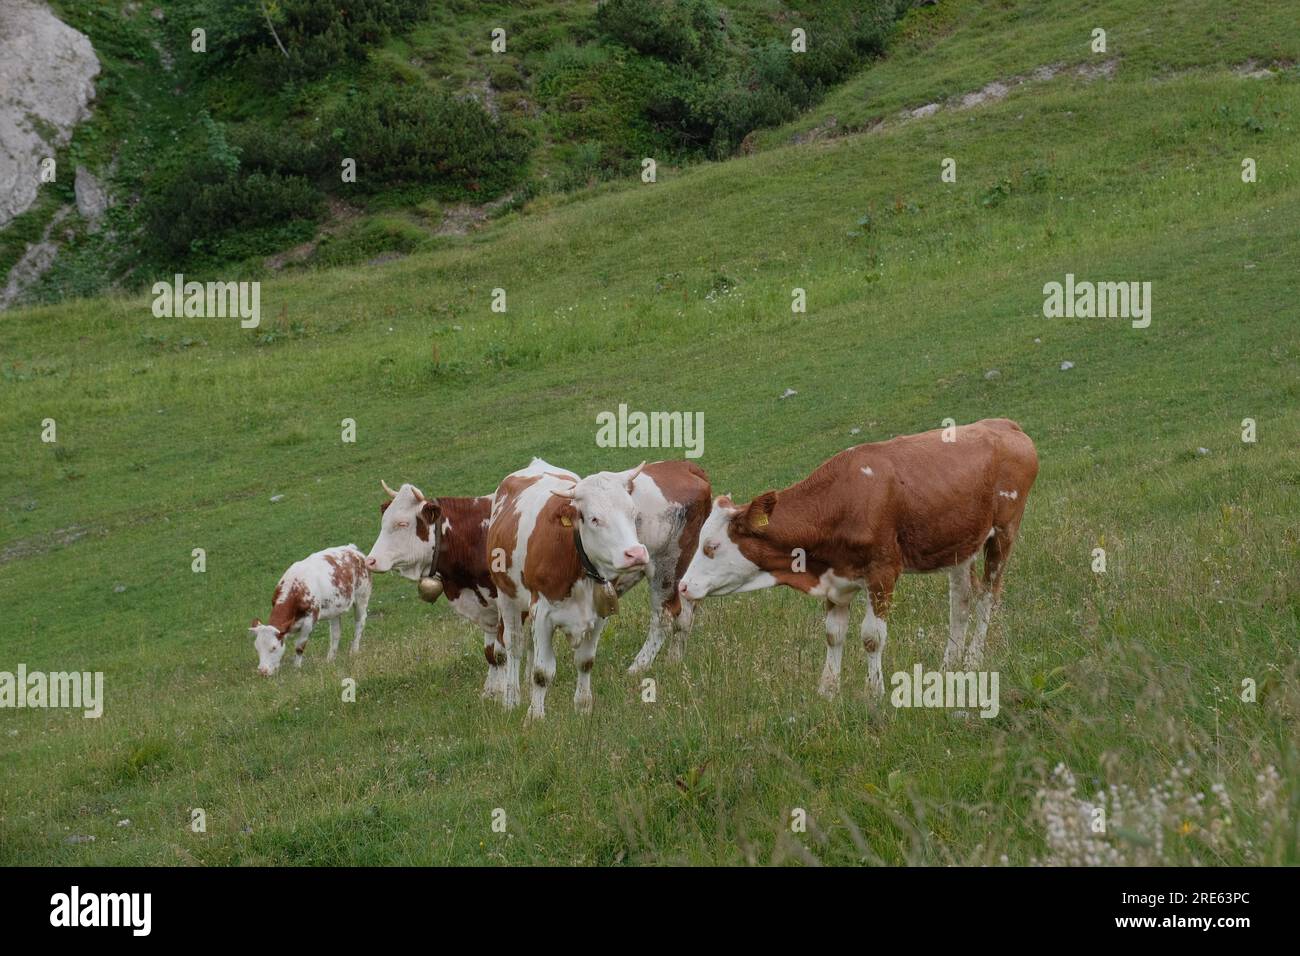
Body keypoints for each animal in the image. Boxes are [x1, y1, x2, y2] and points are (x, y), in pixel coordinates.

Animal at [249, 545, 372, 675]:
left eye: (274, 648)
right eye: (257, 648)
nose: (262, 671)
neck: (296, 587)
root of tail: (352, 549)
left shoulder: (309, 620)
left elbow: (299, 646)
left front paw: (297, 668)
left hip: (362, 597)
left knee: (360, 623)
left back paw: (354, 651)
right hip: (335, 609)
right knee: (335, 633)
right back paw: (330, 659)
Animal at [365, 481, 503, 698]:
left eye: (402, 524)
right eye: (383, 521)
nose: (369, 561)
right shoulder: (486, 608)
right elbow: (491, 654)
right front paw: (491, 693)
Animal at [486, 457, 711, 719]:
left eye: (633, 513)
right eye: (594, 519)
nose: (635, 553)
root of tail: (683, 465)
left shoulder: (599, 613)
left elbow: (582, 661)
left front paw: (577, 708)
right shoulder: (541, 612)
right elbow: (541, 670)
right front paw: (534, 714)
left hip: (668, 565)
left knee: (664, 617)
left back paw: (637, 667)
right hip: (507, 595)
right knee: (513, 644)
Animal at [678, 419, 1038, 698]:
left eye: (711, 546)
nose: (682, 587)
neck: (843, 499)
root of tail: (1005, 425)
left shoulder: (883, 571)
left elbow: (871, 637)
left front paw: (874, 692)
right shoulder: (837, 577)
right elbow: (833, 634)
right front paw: (827, 692)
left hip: (1004, 532)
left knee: (988, 596)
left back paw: (974, 659)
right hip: (961, 545)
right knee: (961, 600)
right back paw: (950, 665)